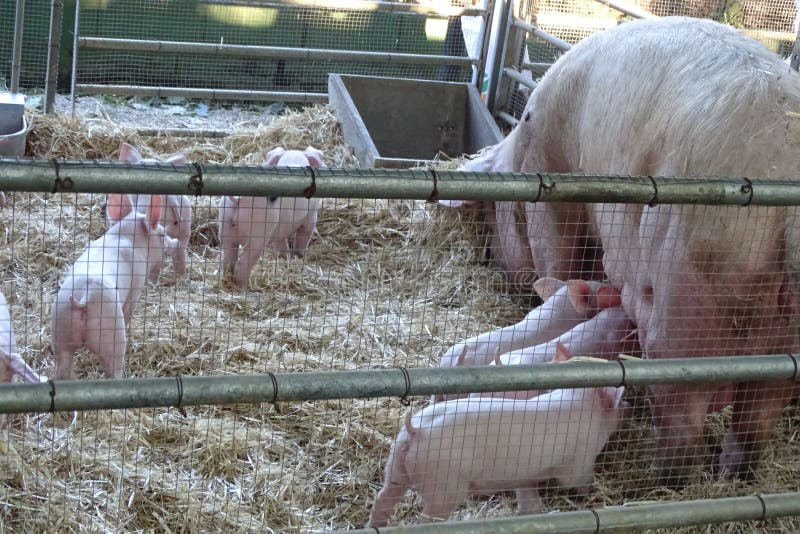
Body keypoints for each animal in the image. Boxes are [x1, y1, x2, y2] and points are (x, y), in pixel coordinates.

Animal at [52, 194, 179, 379]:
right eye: (162, 234)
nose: (175, 242)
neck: (124, 237)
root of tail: (84, 299)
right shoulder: (136, 286)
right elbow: (129, 311)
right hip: (111, 332)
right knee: (113, 368)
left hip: (60, 329)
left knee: (62, 368)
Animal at [218, 146, 323, 288]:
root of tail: (239, 199)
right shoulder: (311, 215)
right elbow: (304, 236)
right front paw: (299, 257)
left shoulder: (280, 230)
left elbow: (281, 244)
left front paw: (286, 257)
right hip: (257, 233)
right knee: (242, 265)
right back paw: (244, 288)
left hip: (225, 226)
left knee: (229, 260)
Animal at [367, 385, 627, 527]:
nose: (627, 405)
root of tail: (417, 431)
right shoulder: (581, 459)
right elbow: (575, 480)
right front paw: (587, 492)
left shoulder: (526, 477)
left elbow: (528, 498)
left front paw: (535, 512)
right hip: (443, 485)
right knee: (427, 519)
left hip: (395, 466)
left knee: (383, 499)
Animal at [491, 16, 800, 484]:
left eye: (500, 214)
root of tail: (788, 218)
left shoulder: (554, 190)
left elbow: (557, 260)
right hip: (786, 348)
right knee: (757, 417)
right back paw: (735, 476)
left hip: (686, 301)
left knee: (683, 420)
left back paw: (665, 479)